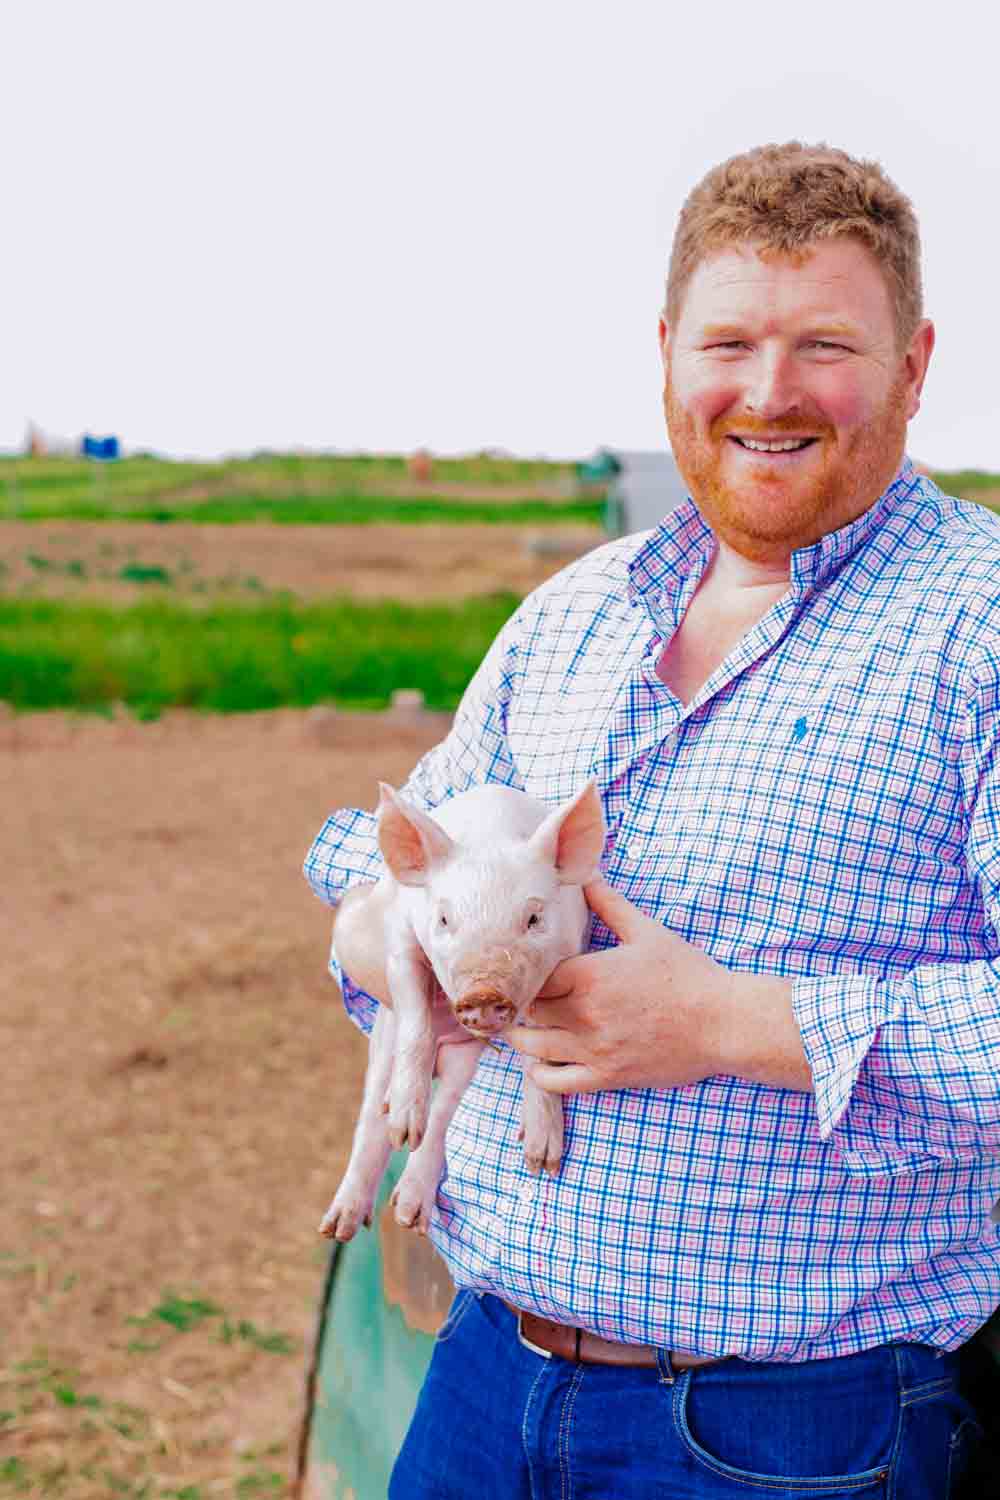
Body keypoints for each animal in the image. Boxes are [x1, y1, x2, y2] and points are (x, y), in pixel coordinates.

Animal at [319, 778, 606, 1242]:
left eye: (533, 918)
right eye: (443, 919)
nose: (484, 991)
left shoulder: (569, 951)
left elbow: (540, 1053)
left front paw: (542, 1161)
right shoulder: (400, 942)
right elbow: (416, 1019)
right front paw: (403, 1120)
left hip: (463, 1058)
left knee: (442, 1116)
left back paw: (408, 1213)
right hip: (382, 1038)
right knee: (371, 1117)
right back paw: (347, 1213)